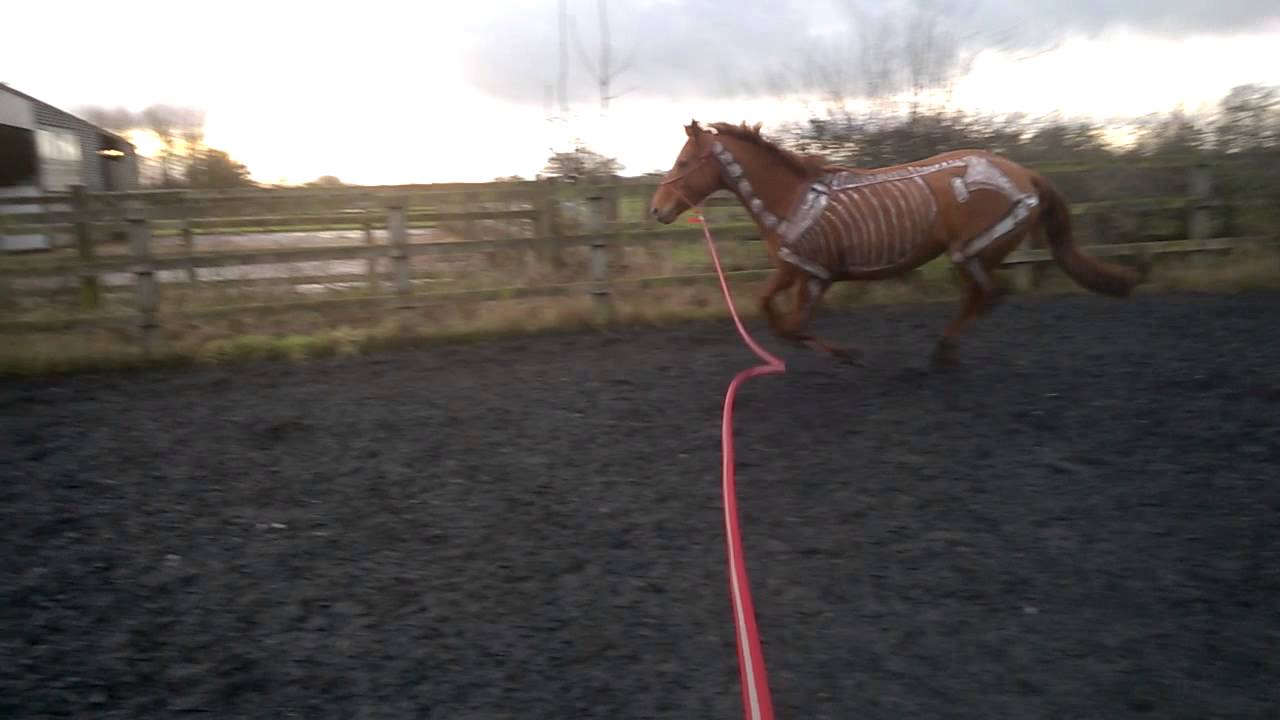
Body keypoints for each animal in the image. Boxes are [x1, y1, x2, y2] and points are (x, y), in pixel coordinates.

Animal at [649, 120, 1142, 368]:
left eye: (685, 162)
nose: (656, 209)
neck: (791, 198)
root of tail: (1026, 175)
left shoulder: (815, 275)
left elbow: (795, 323)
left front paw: (845, 353)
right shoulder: (796, 270)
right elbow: (771, 309)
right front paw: (820, 349)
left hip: (972, 252)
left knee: (989, 294)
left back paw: (943, 350)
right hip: (973, 256)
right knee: (984, 296)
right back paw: (944, 349)